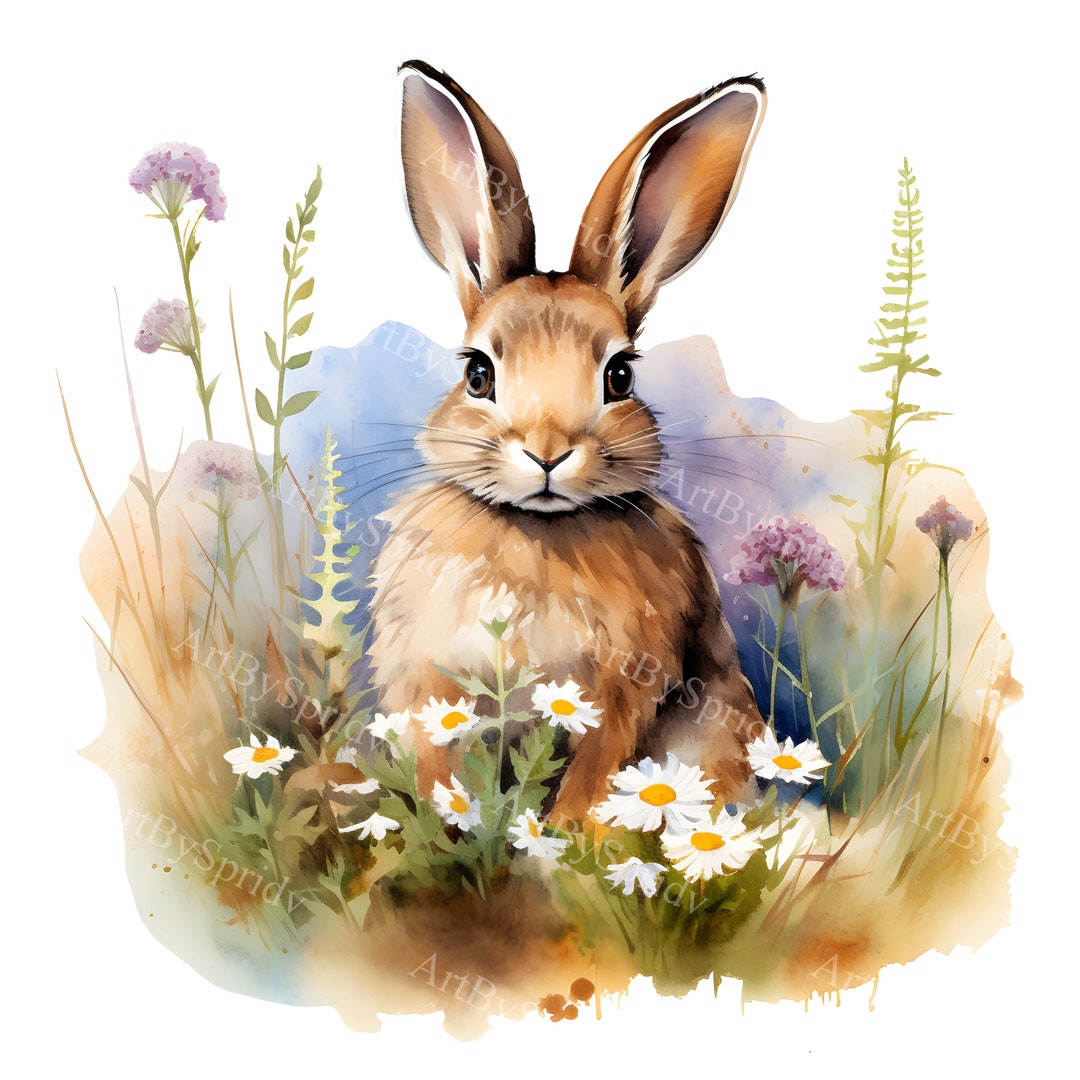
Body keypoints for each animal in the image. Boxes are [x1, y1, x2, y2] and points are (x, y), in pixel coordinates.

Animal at [366, 59, 767, 823]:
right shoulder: (425, 676)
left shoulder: (627, 685)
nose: (547, 452)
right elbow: (434, 765)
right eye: (478, 372)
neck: (535, 533)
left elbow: (596, 772)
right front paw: (449, 824)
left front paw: (568, 834)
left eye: (619, 376)